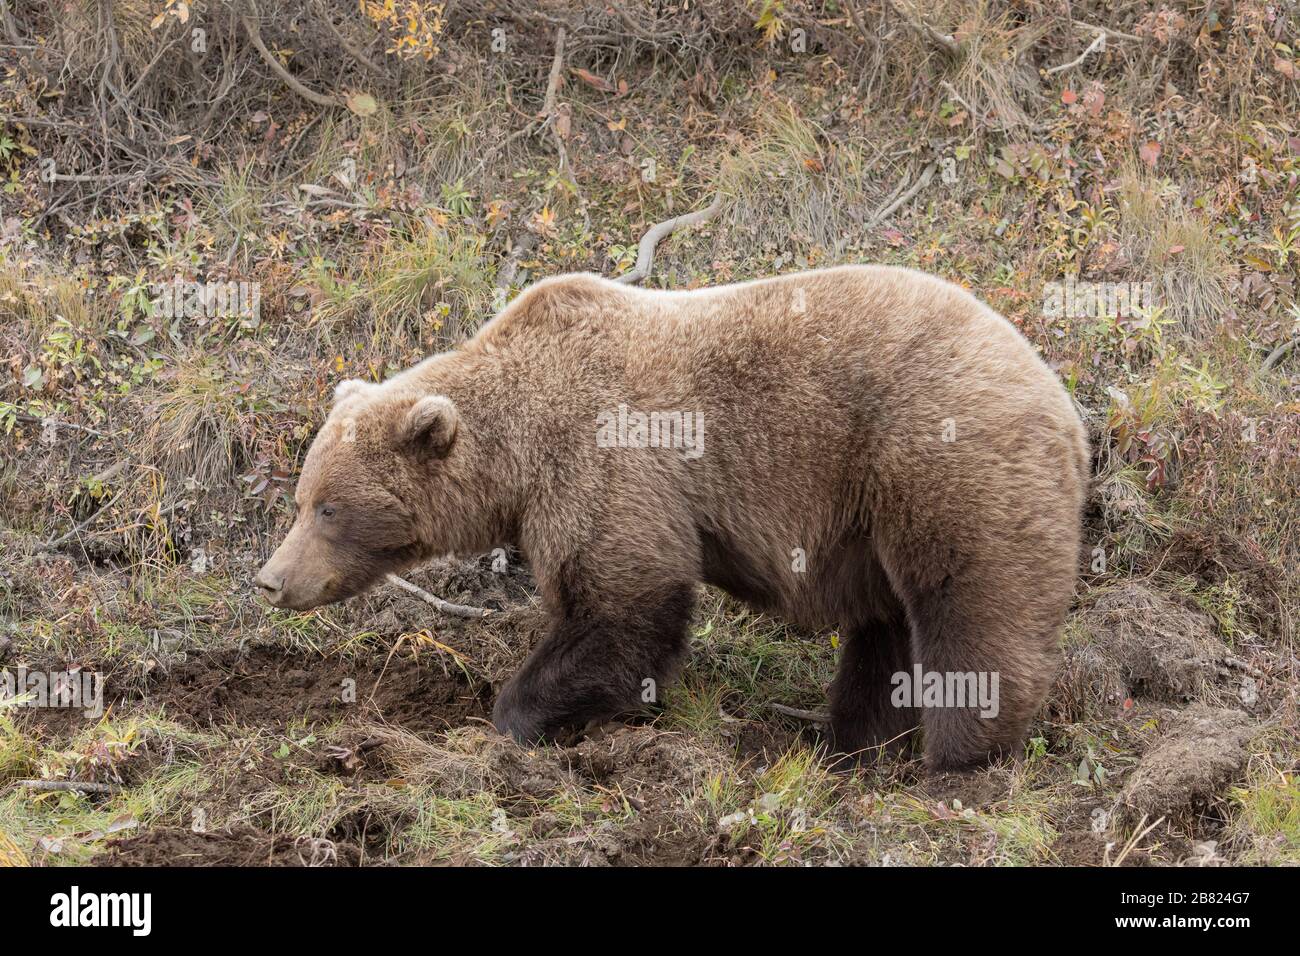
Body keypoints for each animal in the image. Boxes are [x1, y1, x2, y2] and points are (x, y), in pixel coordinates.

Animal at [255, 265, 1089, 771]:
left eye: (328, 508)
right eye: (301, 500)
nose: (270, 580)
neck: (519, 449)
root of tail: (1062, 402)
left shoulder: (604, 465)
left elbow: (625, 605)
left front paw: (513, 718)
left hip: (940, 458)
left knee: (971, 600)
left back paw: (960, 755)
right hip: (874, 511)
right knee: (885, 629)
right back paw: (848, 746)